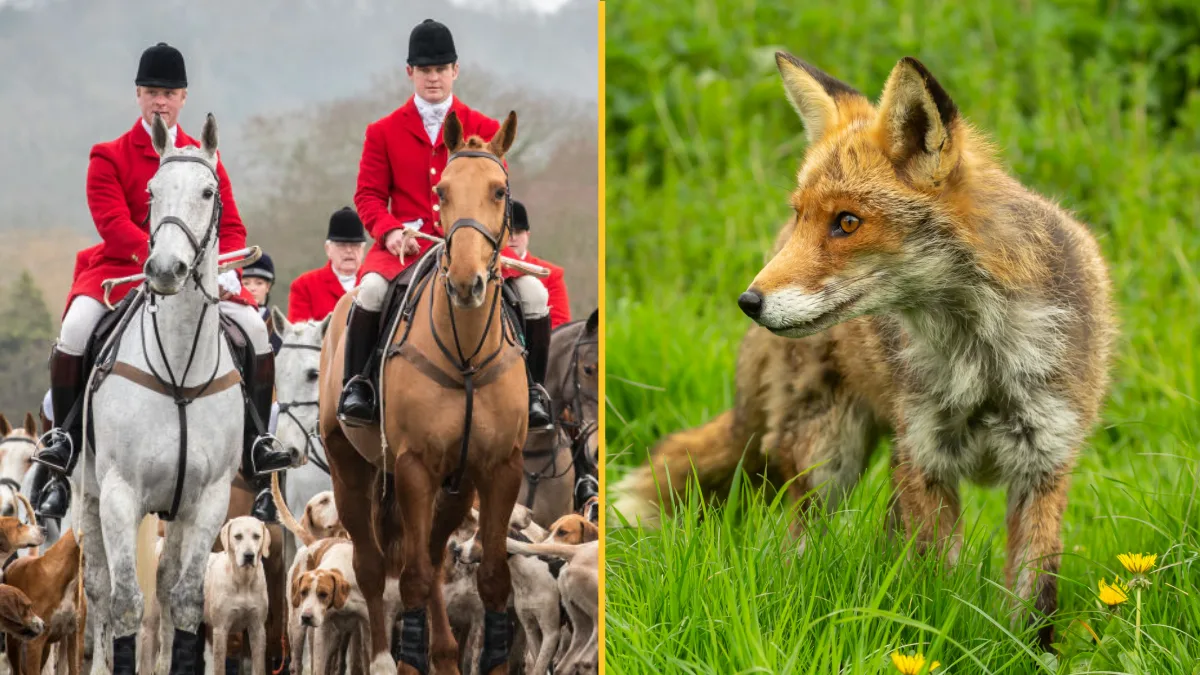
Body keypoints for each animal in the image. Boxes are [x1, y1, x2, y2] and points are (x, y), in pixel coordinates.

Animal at [610, 52, 1116, 647]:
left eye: (847, 222)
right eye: (805, 215)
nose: (749, 302)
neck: (981, 362)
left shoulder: (1043, 464)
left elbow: (1033, 601)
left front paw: (1021, 654)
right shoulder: (927, 458)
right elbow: (937, 588)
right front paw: (936, 643)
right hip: (830, 456)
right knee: (796, 545)